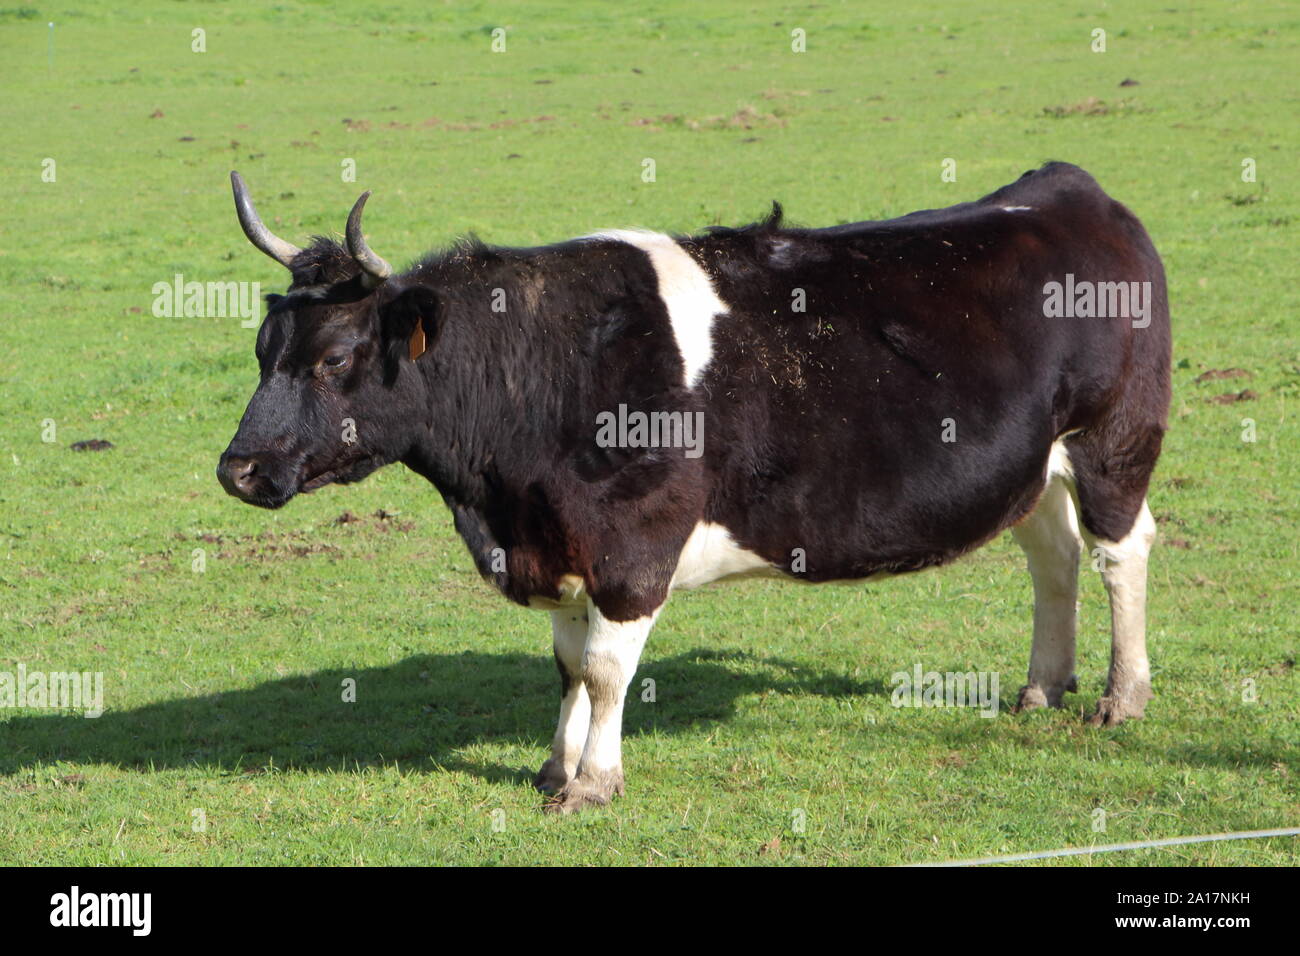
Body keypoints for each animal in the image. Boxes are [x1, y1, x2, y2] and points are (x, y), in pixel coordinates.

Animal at [218, 162, 1170, 813]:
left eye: (335, 357)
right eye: (263, 349)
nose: (239, 469)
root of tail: (1067, 190)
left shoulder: (633, 544)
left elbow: (605, 671)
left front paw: (593, 784)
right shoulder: (561, 542)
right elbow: (566, 665)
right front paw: (553, 767)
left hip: (1113, 441)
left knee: (1122, 552)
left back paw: (1121, 698)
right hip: (1032, 466)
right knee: (1054, 558)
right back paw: (1044, 686)